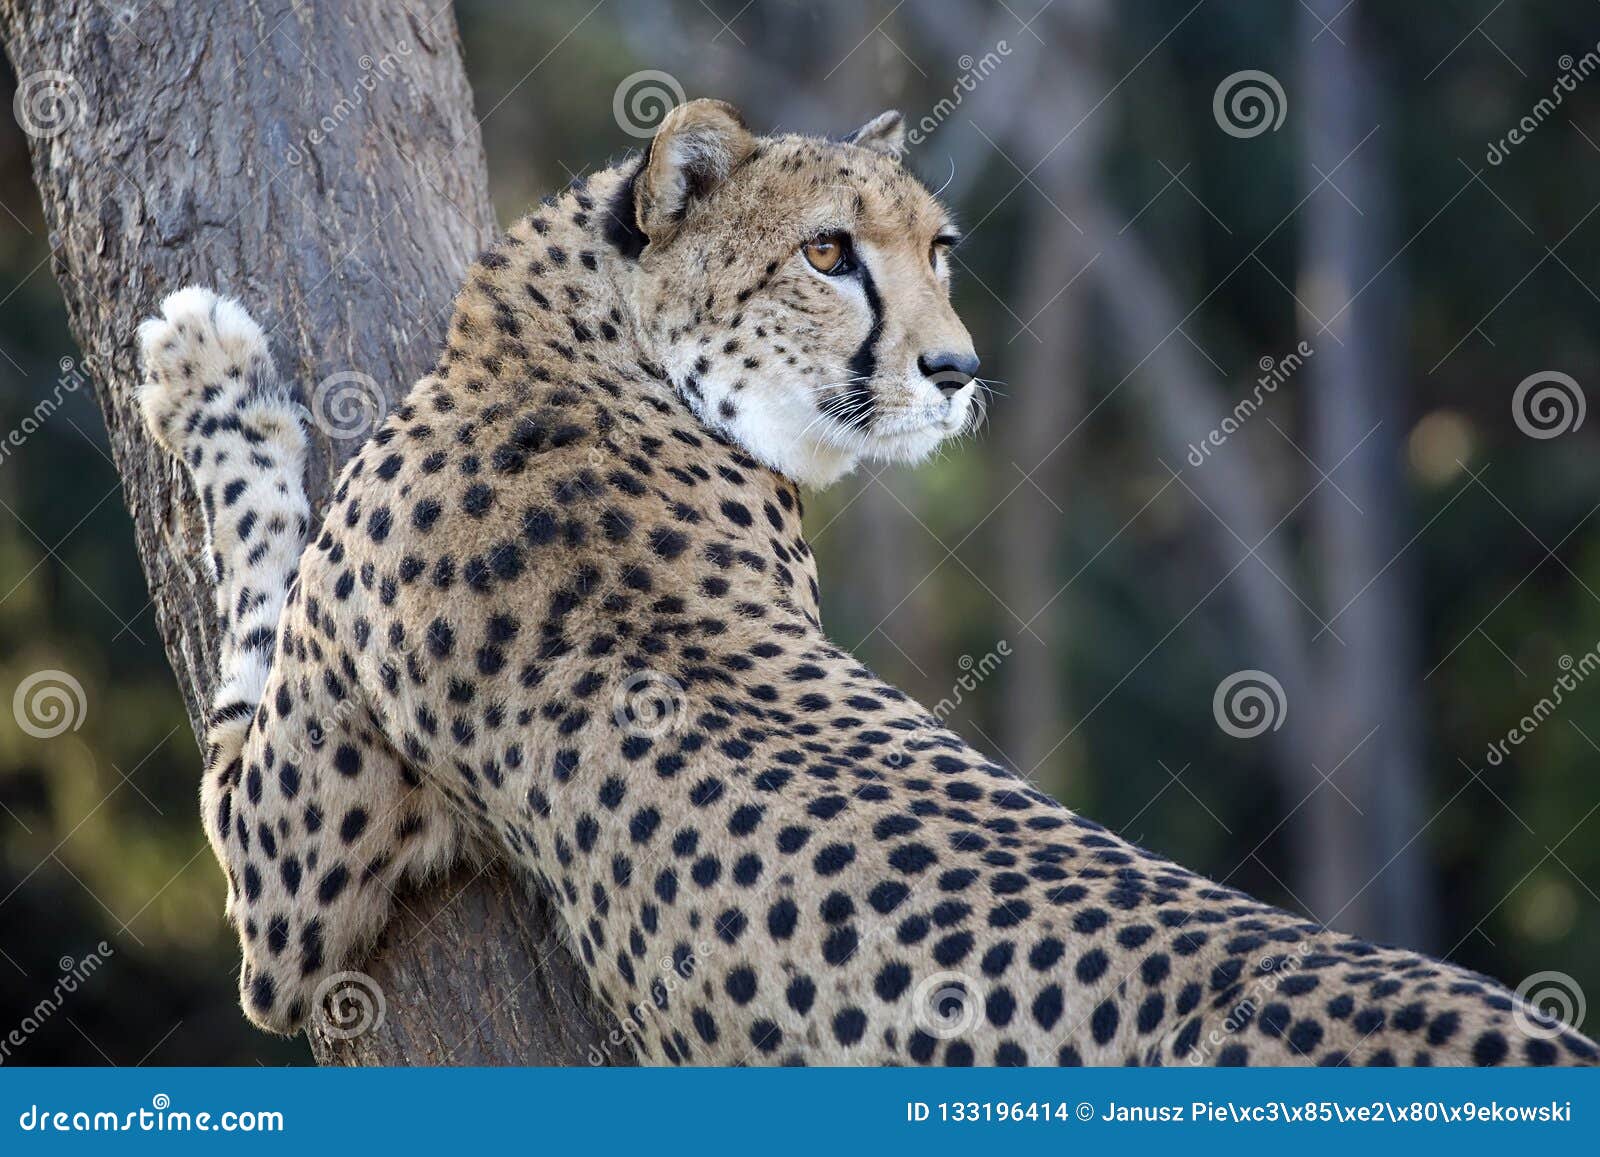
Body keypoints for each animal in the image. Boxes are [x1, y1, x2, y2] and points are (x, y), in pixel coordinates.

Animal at [135, 98, 1597, 1067]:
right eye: (829, 252)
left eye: (938, 249)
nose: (957, 370)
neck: (584, 354)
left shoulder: (287, 897)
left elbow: (248, 605)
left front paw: (201, 370)